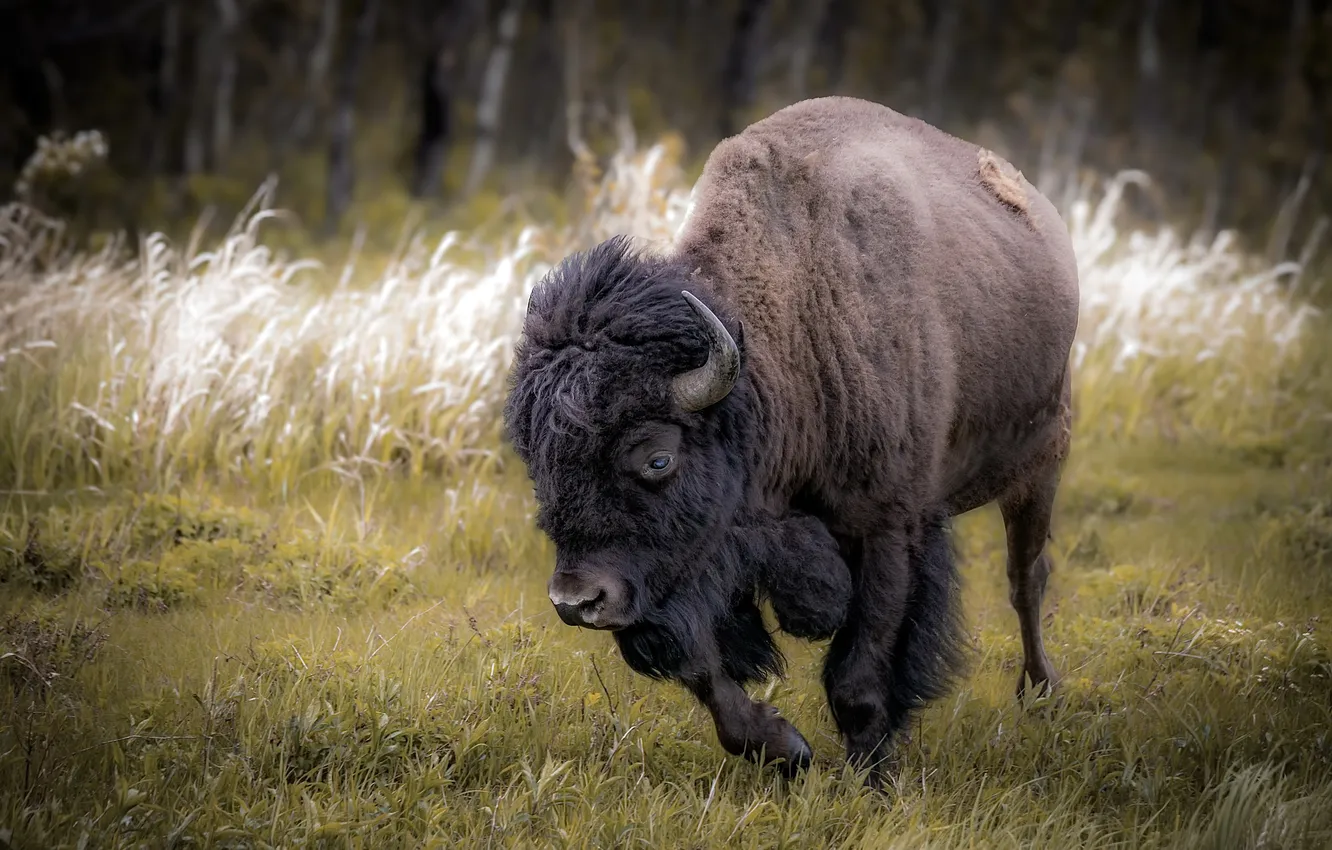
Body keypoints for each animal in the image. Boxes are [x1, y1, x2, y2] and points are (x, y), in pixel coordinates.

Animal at [503, 96, 1080, 783]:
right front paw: (786, 749)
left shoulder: (889, 530)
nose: (576, 600)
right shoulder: (697, 560)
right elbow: (699, 668)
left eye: (658, 457)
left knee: (1026, 578)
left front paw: (871, 779)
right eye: (541, 463)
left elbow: (860, 674)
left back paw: (1041, 692)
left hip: (1040, 461)